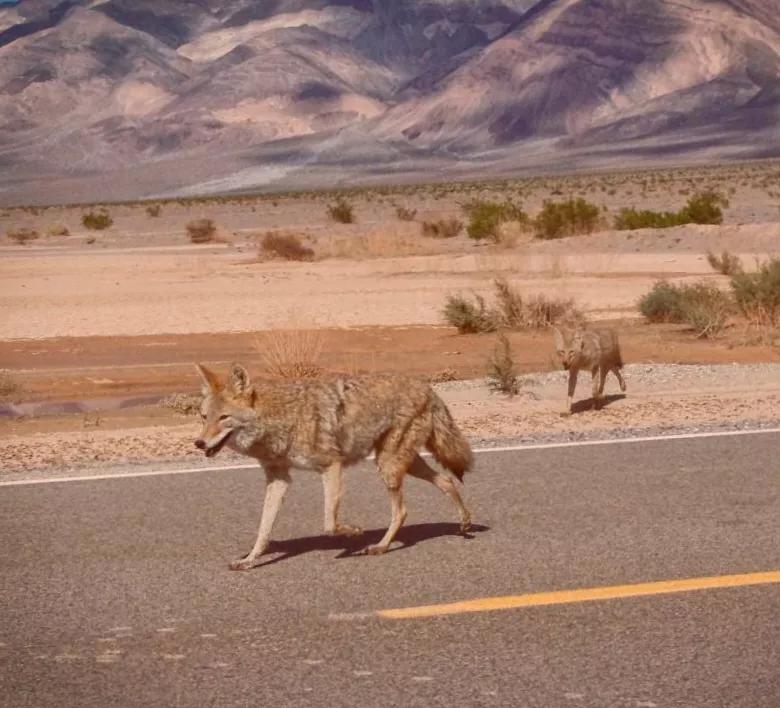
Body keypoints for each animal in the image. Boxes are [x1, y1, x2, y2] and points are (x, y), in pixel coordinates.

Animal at [195, 363, 474, 570]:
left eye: (224, 418)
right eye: (204, 417)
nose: (198, 442)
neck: (281, 418)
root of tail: (428, 389)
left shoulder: (331, 465)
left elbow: (329, 523)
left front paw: (354, 532)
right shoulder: (279, 479)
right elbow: (264, 528)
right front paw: (250, 560)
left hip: (389, 466)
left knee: (403, 510)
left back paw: (380, 546)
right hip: (401, 463)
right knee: (446, 481)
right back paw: (464, 523)